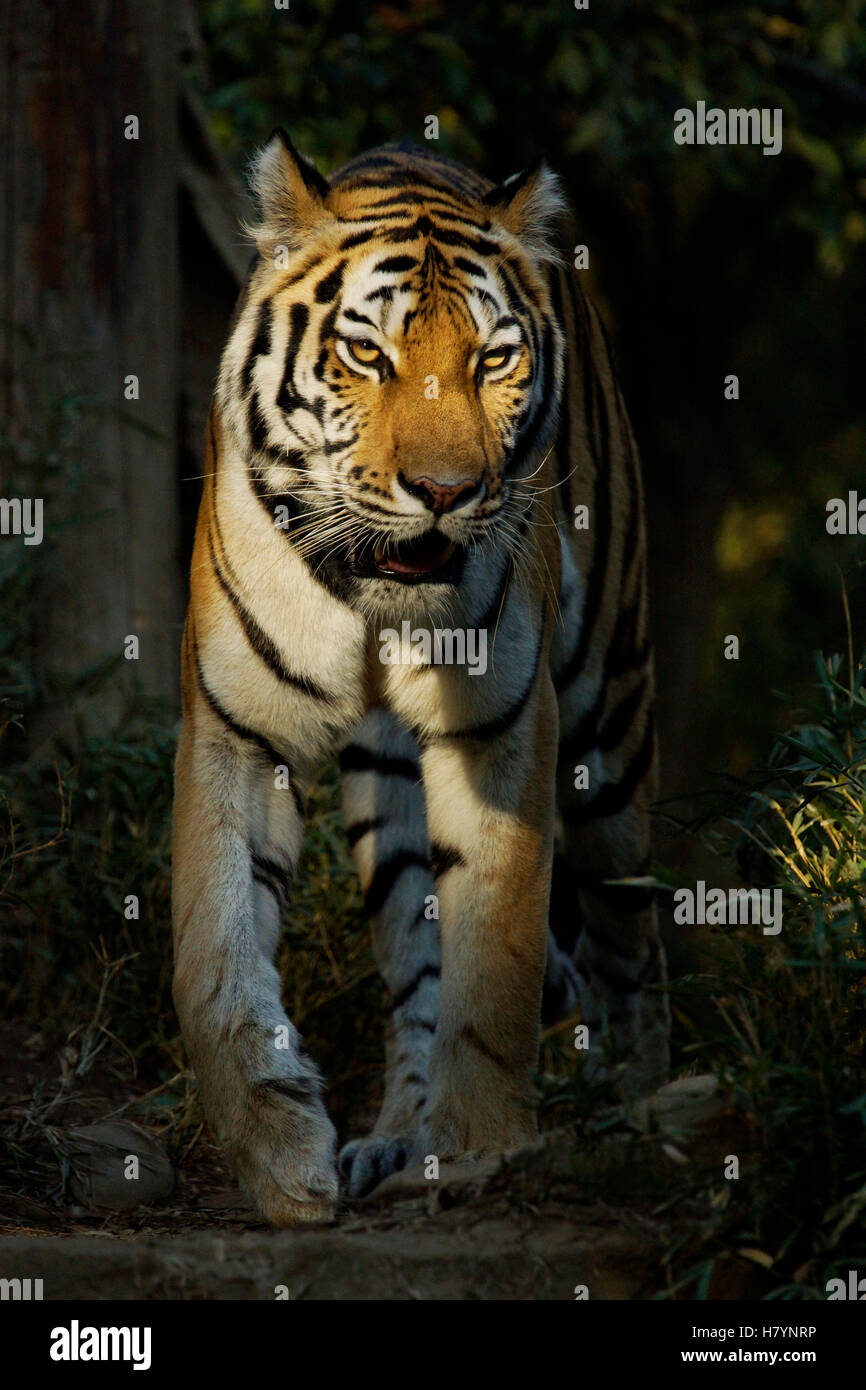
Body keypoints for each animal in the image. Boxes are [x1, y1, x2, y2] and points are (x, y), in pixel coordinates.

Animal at [171, 129, 670, 1227]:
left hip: (608, 716)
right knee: (415, 958)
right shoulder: (236, 730)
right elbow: (214, 952)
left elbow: (499, 949)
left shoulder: (504, 722)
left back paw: (633, 1101)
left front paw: (480, 1145)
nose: (445, 492)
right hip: (391, 794)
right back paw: (399, 1137)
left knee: (627, 929)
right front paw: (279, 1155)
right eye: (368, 354)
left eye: (492, 360)